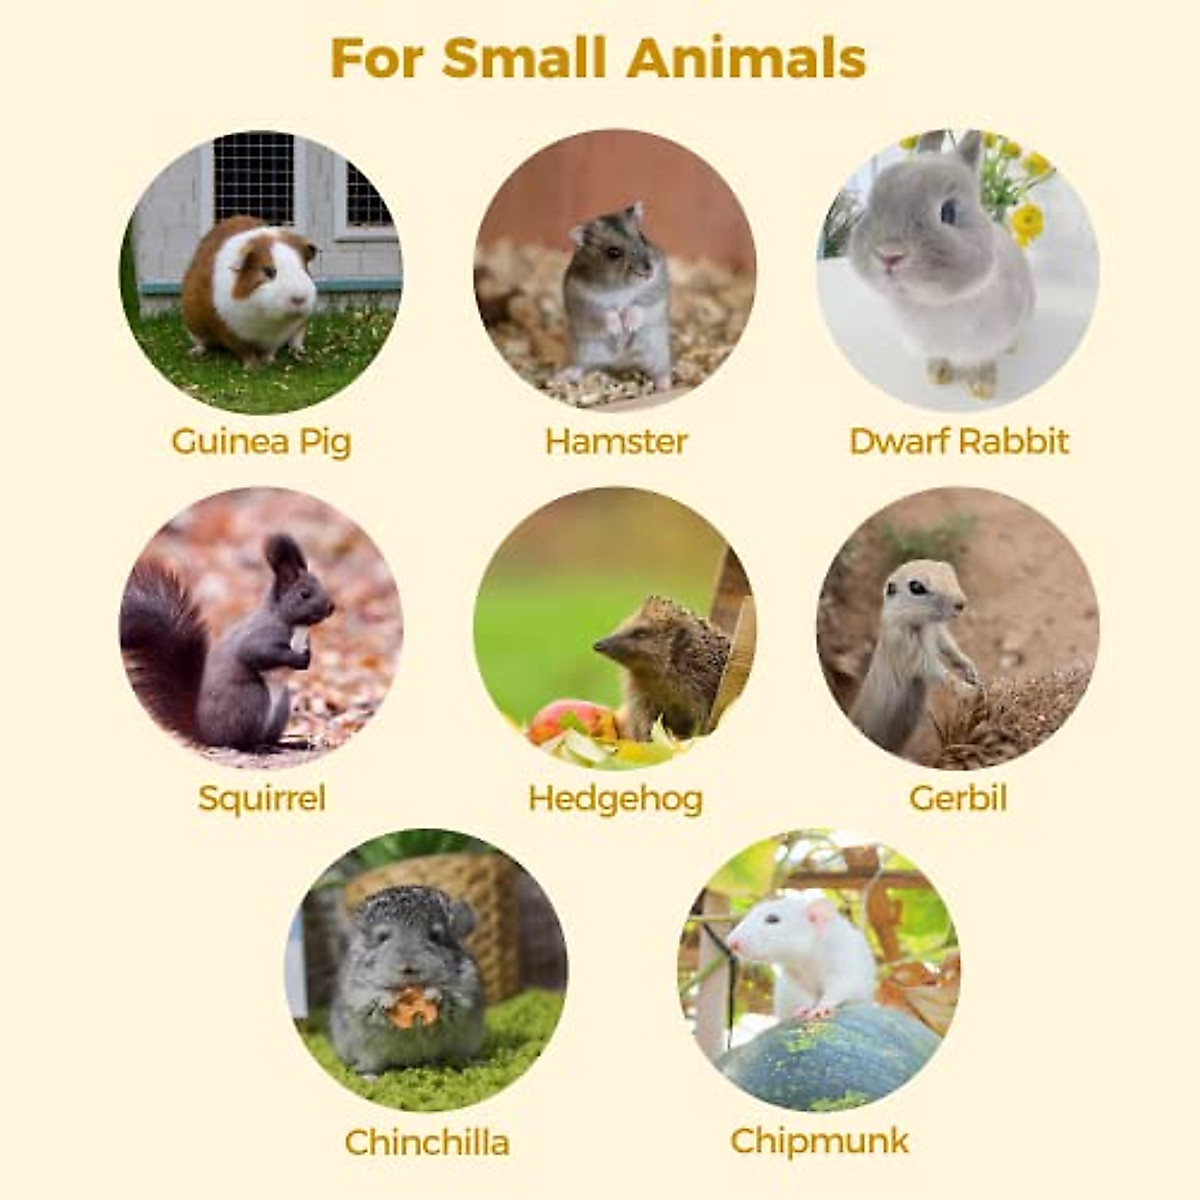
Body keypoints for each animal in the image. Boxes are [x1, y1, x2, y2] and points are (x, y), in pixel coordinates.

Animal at [181, 215, 318, 369]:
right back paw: (194, 353)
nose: (299, 299)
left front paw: (269, 362)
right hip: (194, 328)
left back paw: (299, 351)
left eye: (304, 269)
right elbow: (244, 351)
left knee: (297, 340)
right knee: (201, 343)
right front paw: (252, 367)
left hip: (301, 325)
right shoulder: (229, 330)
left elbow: (270, 351)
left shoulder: (275, 338)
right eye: (268, 271)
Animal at [330, 886, 485, 1076]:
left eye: (435, 936)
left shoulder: (465, 990)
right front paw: (387, 1002)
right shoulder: (358, 996)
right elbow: (375, 999)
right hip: (366, 1055)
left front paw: (433, 995)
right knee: (370, 1067)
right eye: (382, 937)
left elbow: (448, 994)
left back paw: (475, 1064)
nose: (408, 969)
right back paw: (369, 1077)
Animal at [555, 201, 672, 391]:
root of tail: (621, 363)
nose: (648, 271)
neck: (621, 287)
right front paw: (618, 329)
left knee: (660, 371)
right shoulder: (584, 299)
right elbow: (606, 313)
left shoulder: (656, 287)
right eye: (613, 252)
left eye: (642, 237)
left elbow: (638, 304)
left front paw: (629, 326)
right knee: (581, 367)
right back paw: (560, 378)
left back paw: (665, 386)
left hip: (657, 350)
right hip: (583, 351)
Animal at [727, 893, 877, 1021]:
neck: (806, 957)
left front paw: (821, 1007)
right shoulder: (798, 976)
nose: (731, 943)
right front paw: (807, 1007)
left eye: (772, 919)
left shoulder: (841, 957)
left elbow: (840, 986)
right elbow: (812, 995)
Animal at [849, 129, 1035, 399]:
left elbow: (985, 361)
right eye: (870, 207)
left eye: (948, 212)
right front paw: (937, 375)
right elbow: (939, 358)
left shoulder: (990, 341)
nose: (889, 254)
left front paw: (983, 388)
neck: (937, 303)